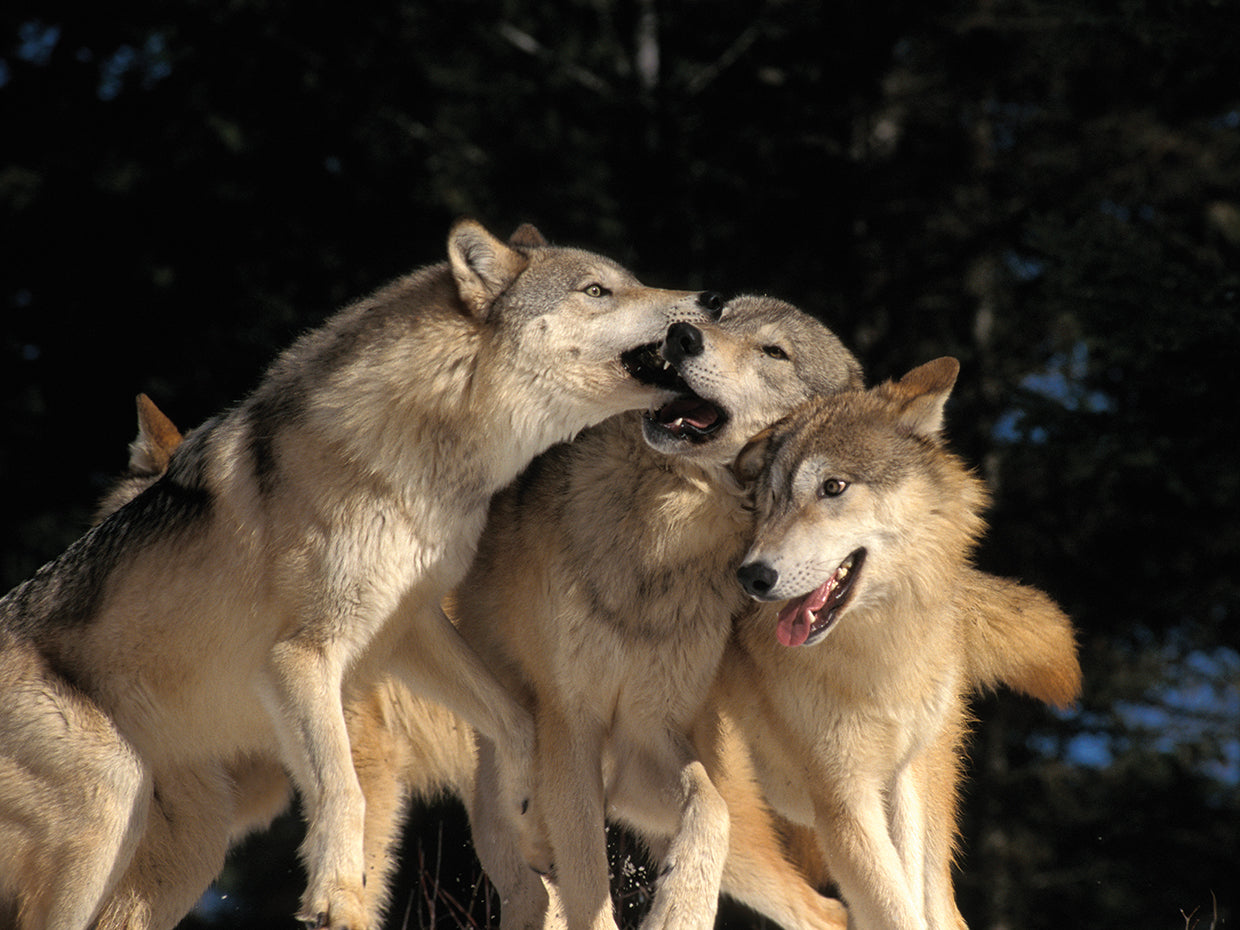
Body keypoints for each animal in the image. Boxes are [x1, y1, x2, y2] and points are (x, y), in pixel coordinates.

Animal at [0, 220, 717, 930]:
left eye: (627, 280)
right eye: (597, 289)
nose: (708, 301)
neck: (422, 466)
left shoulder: (409, 626)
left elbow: (521, 727)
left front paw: (537, 828)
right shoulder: (304, 660)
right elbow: (344, 790)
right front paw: (337, 898)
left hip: (179, 841)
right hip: (112, 809)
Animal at [451, 294, 864, 930]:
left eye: (775, 351)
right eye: (721, 313)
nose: (683, 336)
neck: (666, 539)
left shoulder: (647, 732)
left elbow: (709, 808)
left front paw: (680, 909)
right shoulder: (571, 725)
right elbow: (588, 887)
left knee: (823, 906)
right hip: (503, 822)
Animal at [730, 358, 1081, 930]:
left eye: (833, 486)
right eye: (772, 500)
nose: (752, 576)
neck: (881, 659)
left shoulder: (892, 781)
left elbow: (905, 907)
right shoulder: (843, 798)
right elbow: (891, 909)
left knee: (939, 901)